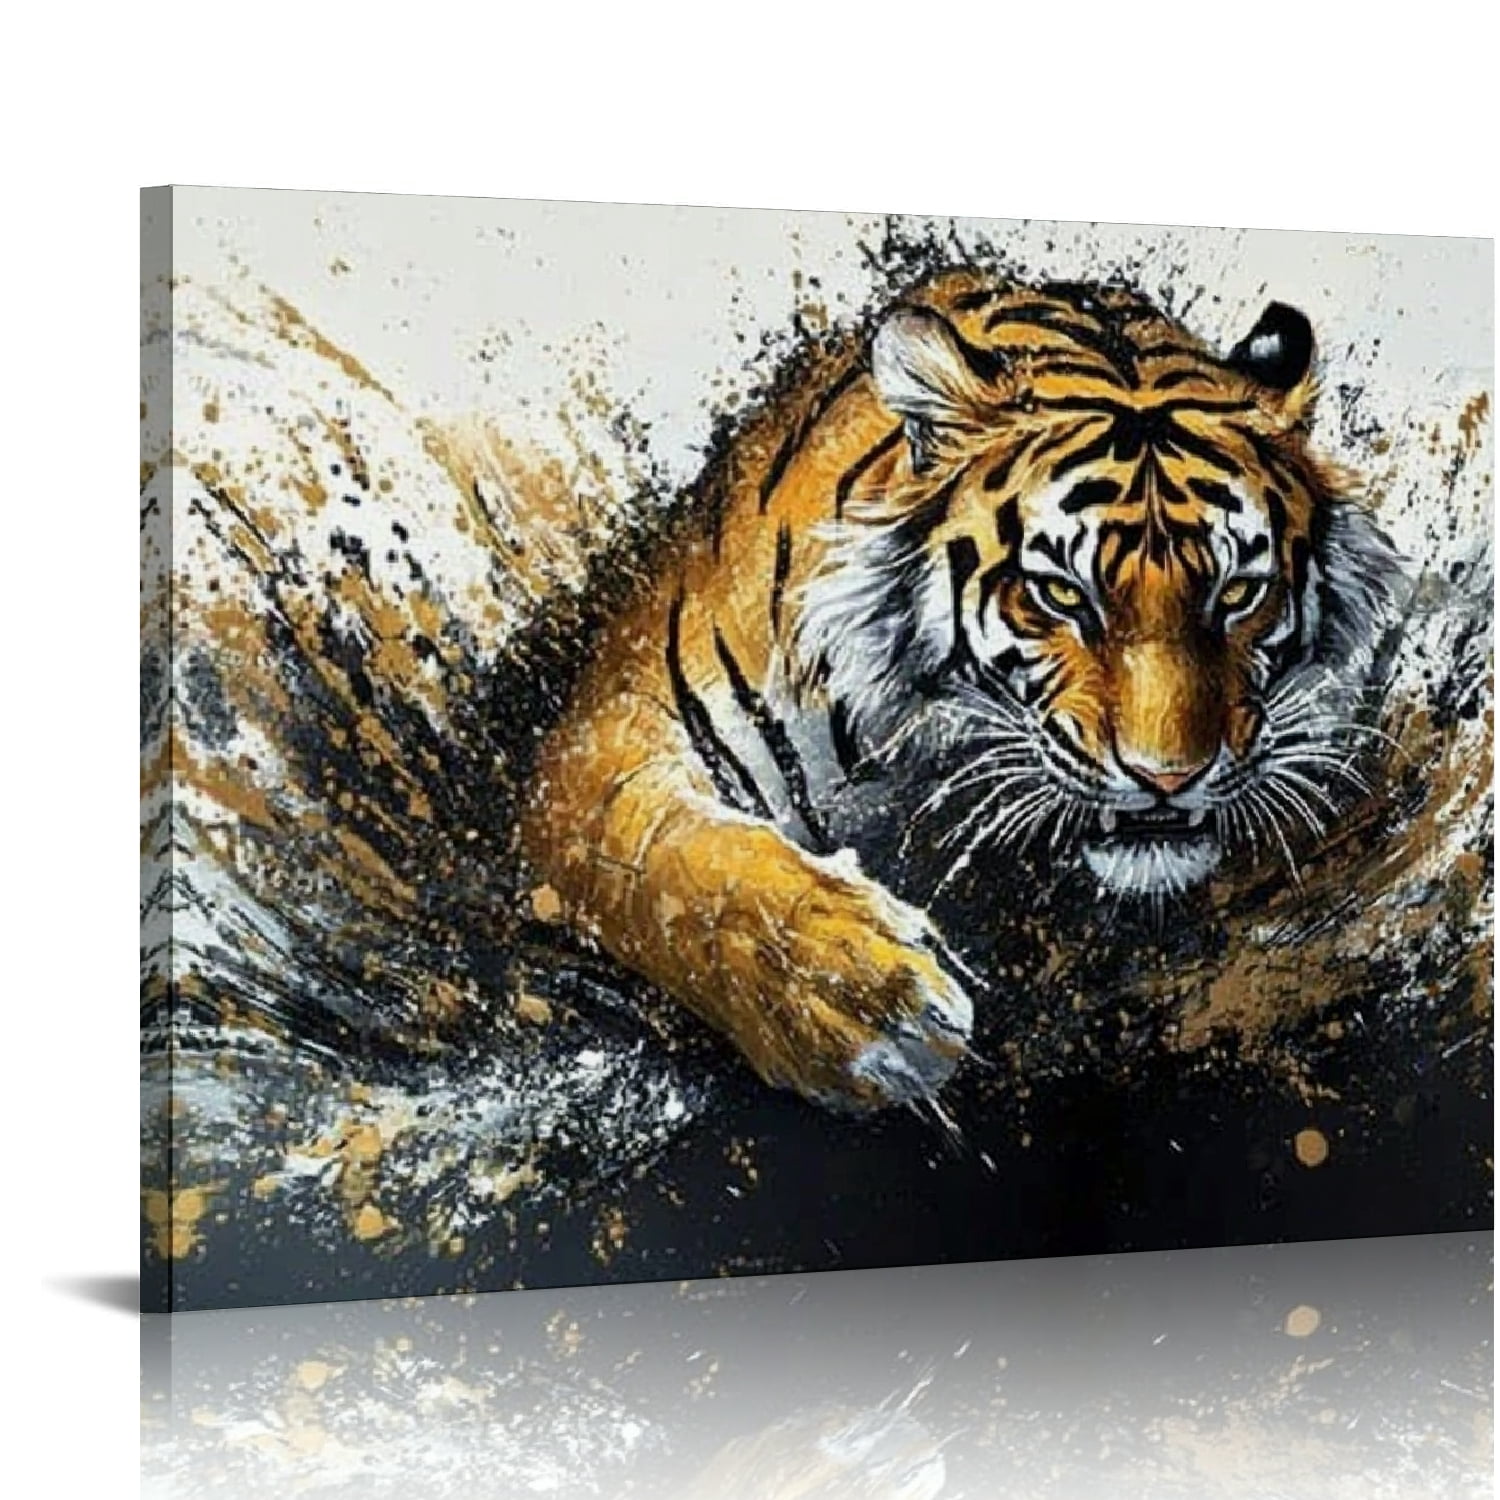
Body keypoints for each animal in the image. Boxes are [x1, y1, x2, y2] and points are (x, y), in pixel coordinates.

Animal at [517, 270, 1403, 1113]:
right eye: (1063, 594)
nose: (1169, 778)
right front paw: (864, 1000)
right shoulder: (602, 747)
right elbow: (678, 865)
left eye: (1238, 592)